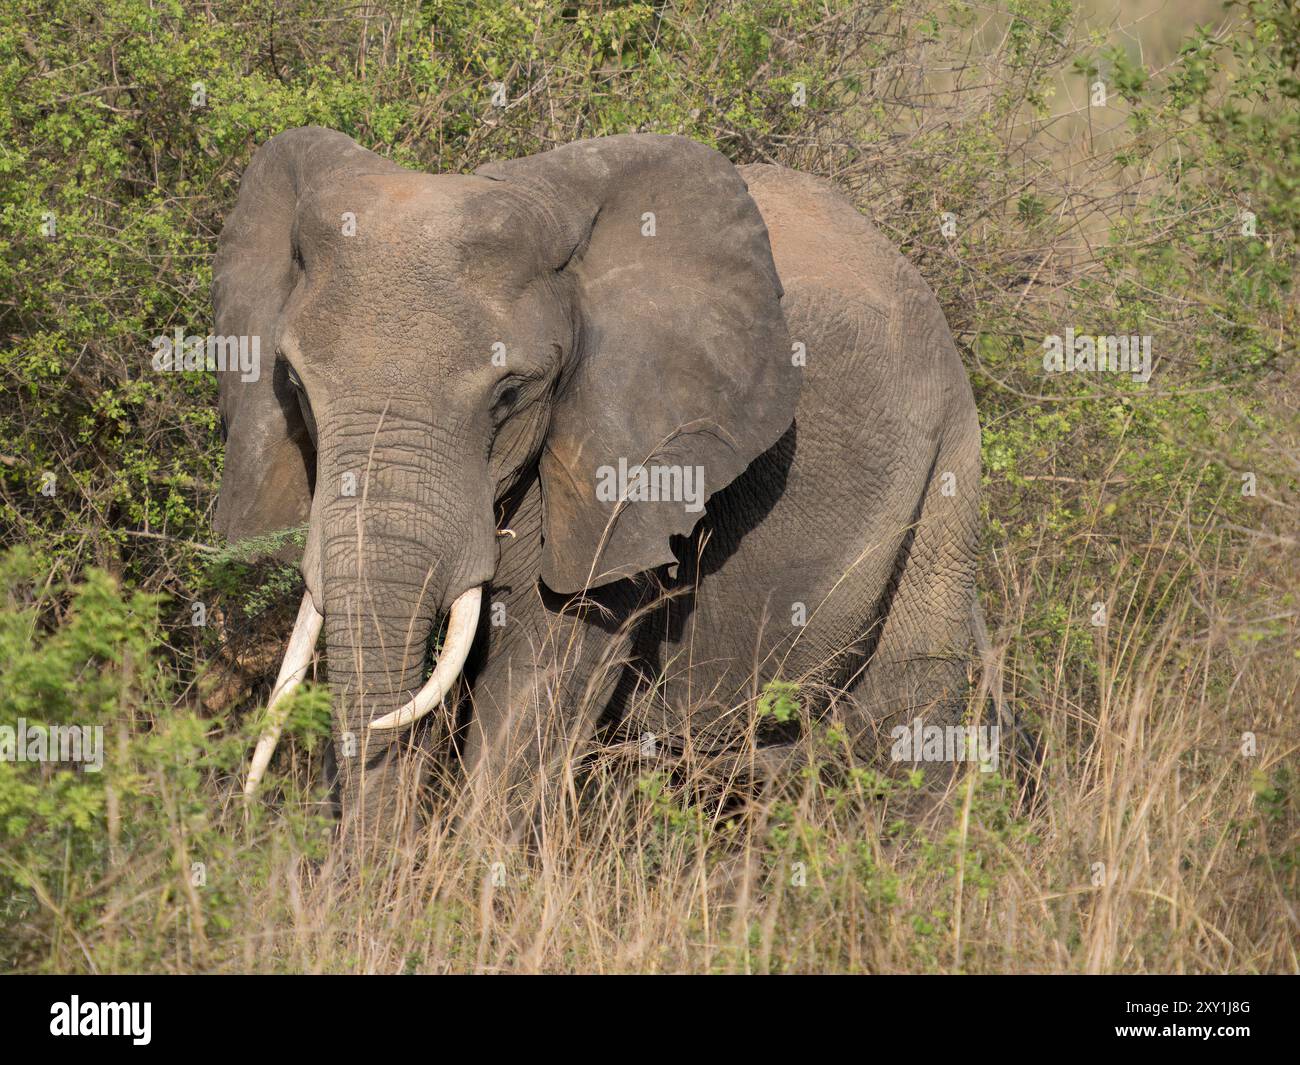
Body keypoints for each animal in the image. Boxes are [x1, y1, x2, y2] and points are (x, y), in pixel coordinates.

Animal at [212, 127, 982, 844]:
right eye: (294, 385)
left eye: (510, 393)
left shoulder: (629, 468)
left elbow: (548, 663)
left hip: (946, 470)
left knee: (909, 712)